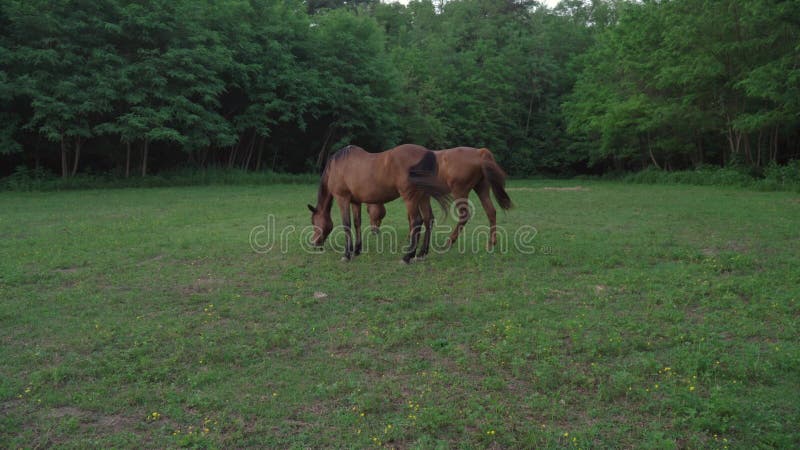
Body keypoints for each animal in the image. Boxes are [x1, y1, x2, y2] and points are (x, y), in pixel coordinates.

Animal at [308, 144, 450, 263]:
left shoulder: (342, 198)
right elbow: (357, 223)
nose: (314, 244)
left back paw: (407, 256)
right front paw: (357, 250)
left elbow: (346, 224)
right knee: (428, 219)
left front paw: (346, 254)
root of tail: (426, 153)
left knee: (416, 221)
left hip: (410, 197)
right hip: (423, 196)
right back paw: (421, 254)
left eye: (314, 222)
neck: (337, 167)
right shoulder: (355, 201)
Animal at [367, 147, 512, 248]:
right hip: (482, 189)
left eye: (368, 211)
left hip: (459, 191)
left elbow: (412, 217)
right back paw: (491, 243)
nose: (374, 231)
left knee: (464, 216)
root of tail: (479, 152)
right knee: (491, 212)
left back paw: (450, 241)